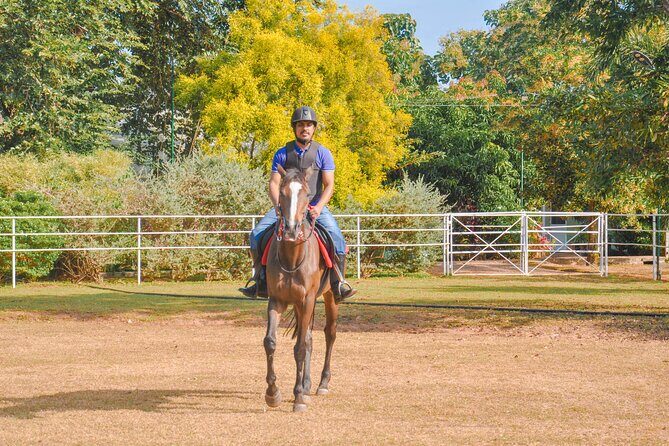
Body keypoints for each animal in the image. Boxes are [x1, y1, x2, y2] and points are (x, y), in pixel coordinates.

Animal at [263, 165, 339, 413]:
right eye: (282, 192)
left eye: (306, 194)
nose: (290, 230)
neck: (292, 257)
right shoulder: (277, 300)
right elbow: (270, 342)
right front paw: (273, 393)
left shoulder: (307, 300)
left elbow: (300, 348)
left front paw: (297, 398)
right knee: (309, 338)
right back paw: (306, 386)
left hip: (329, 297)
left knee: (329, 334)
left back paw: (321, 384)